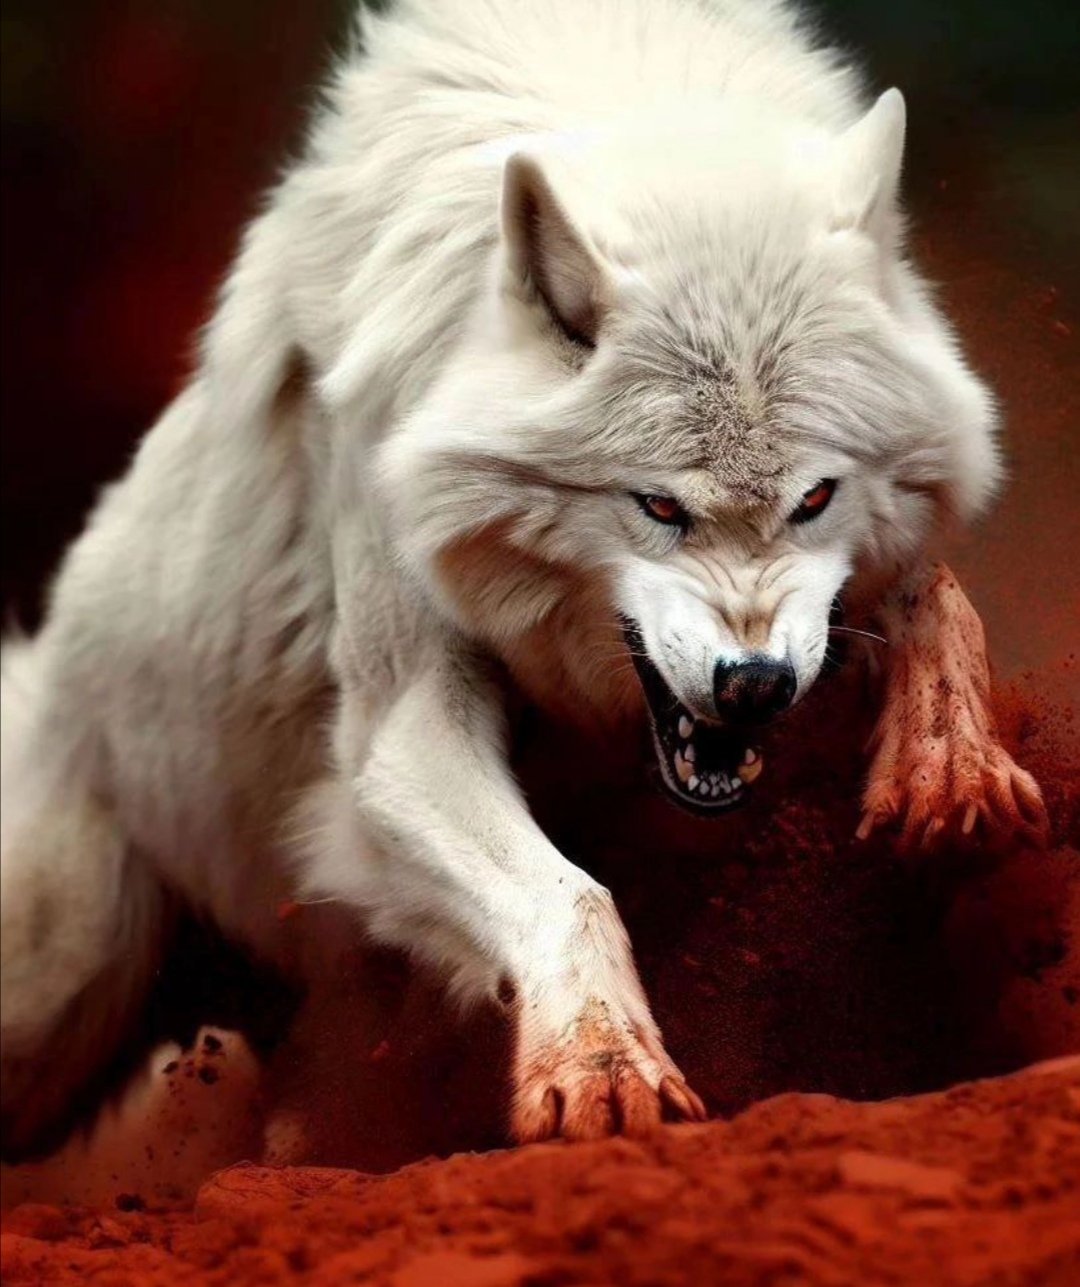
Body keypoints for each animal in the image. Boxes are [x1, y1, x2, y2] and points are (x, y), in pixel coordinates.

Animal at [1, 0, 1048, 1156]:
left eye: (815, 497)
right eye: (659, 507)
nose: (755, 686)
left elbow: (930, 592)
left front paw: (952, 763)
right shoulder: (398, 726)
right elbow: (570, 893)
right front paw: (602, 1069)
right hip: (60, 967)